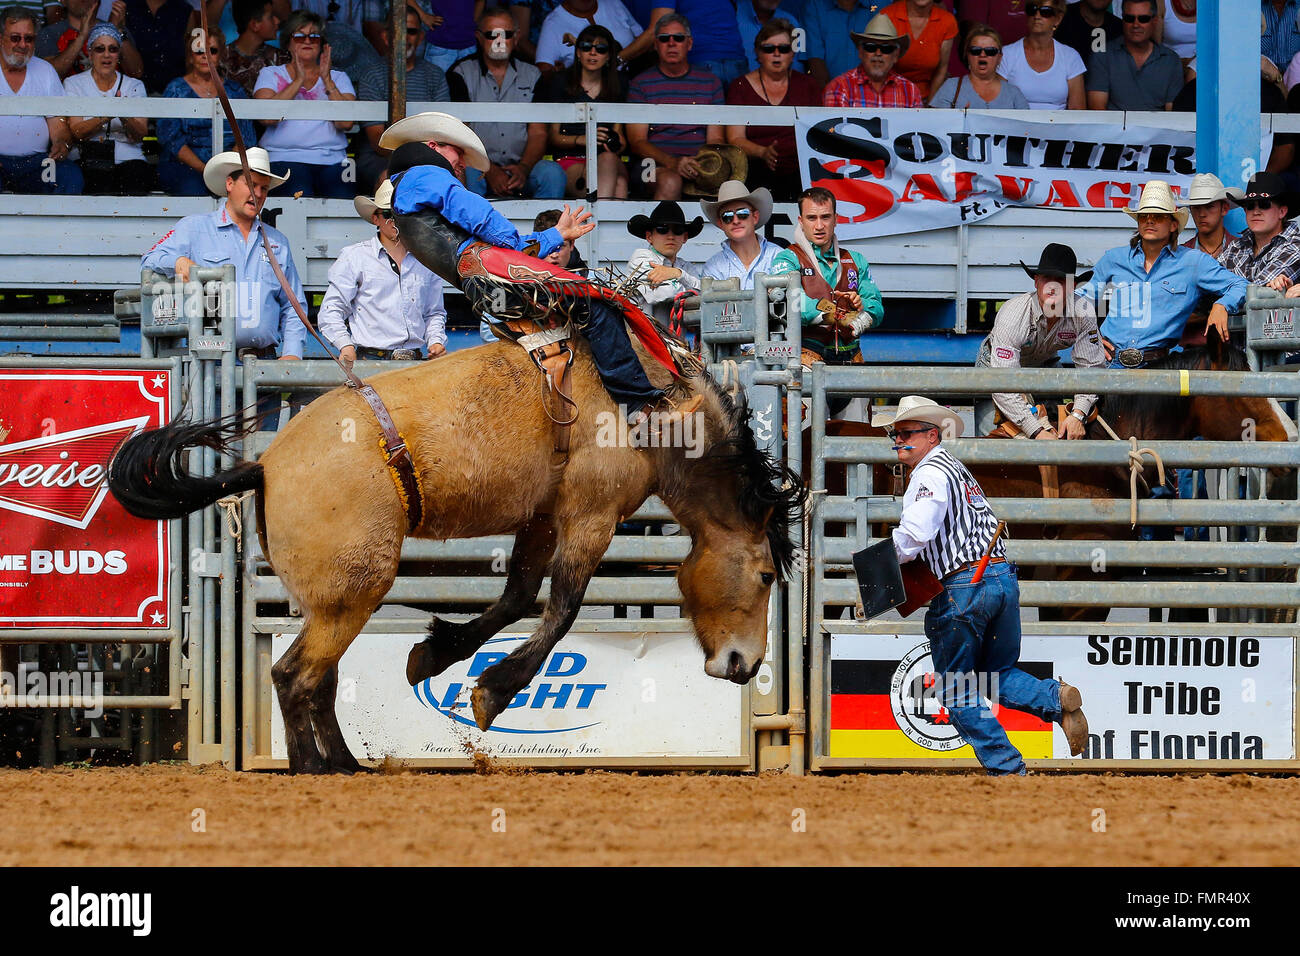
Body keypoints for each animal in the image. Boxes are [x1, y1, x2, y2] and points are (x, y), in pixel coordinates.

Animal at [108, 339, 806, 774]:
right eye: (765, 574)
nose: (747, 666)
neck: (654, 410)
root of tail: (266, 464)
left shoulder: (542, 515)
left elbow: (518, 596)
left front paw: (436, 654)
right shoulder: (590, 513)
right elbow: (562, 607)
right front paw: (492, 690)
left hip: (331, 602)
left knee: (320, 678)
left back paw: (347, 764)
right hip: (353, 591)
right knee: (293, 675)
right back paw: (310, 768)